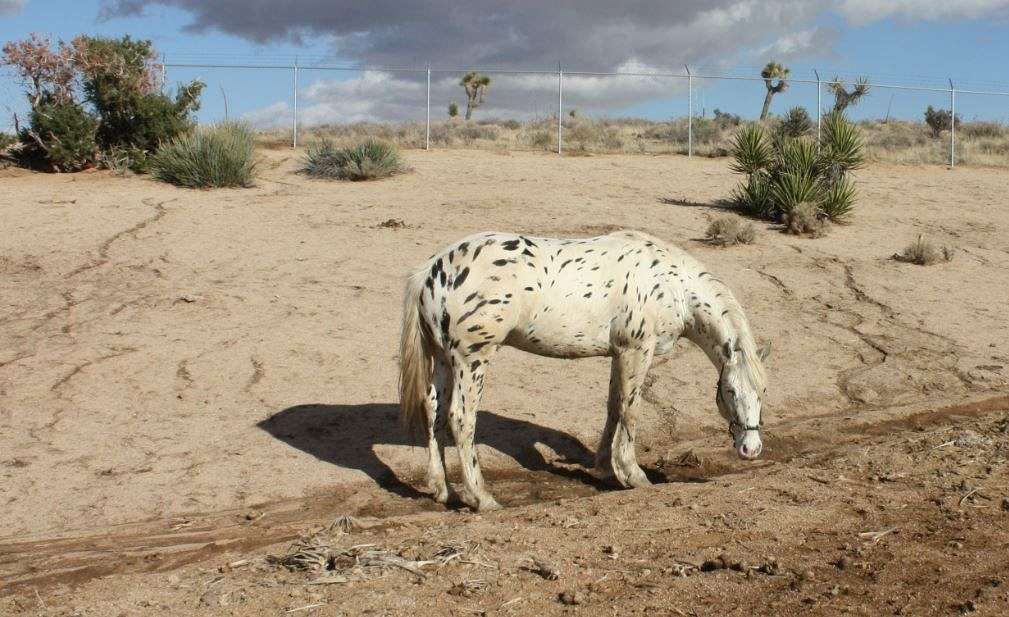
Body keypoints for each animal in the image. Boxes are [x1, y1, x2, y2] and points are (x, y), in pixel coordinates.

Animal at [399, 229, 769, 511]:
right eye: (730, 391)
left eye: (763, 393)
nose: (751, 449)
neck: (673, 285)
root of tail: (431, 270)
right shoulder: (638, 351)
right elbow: (631, 411)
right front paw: (634, 475)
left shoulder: (619, 354)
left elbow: (613, 408)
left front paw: (605, 468)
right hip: (470, 360)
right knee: (461, 418)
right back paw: (482, 498)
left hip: (443, 360)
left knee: (433, 412)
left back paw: (443, 490)